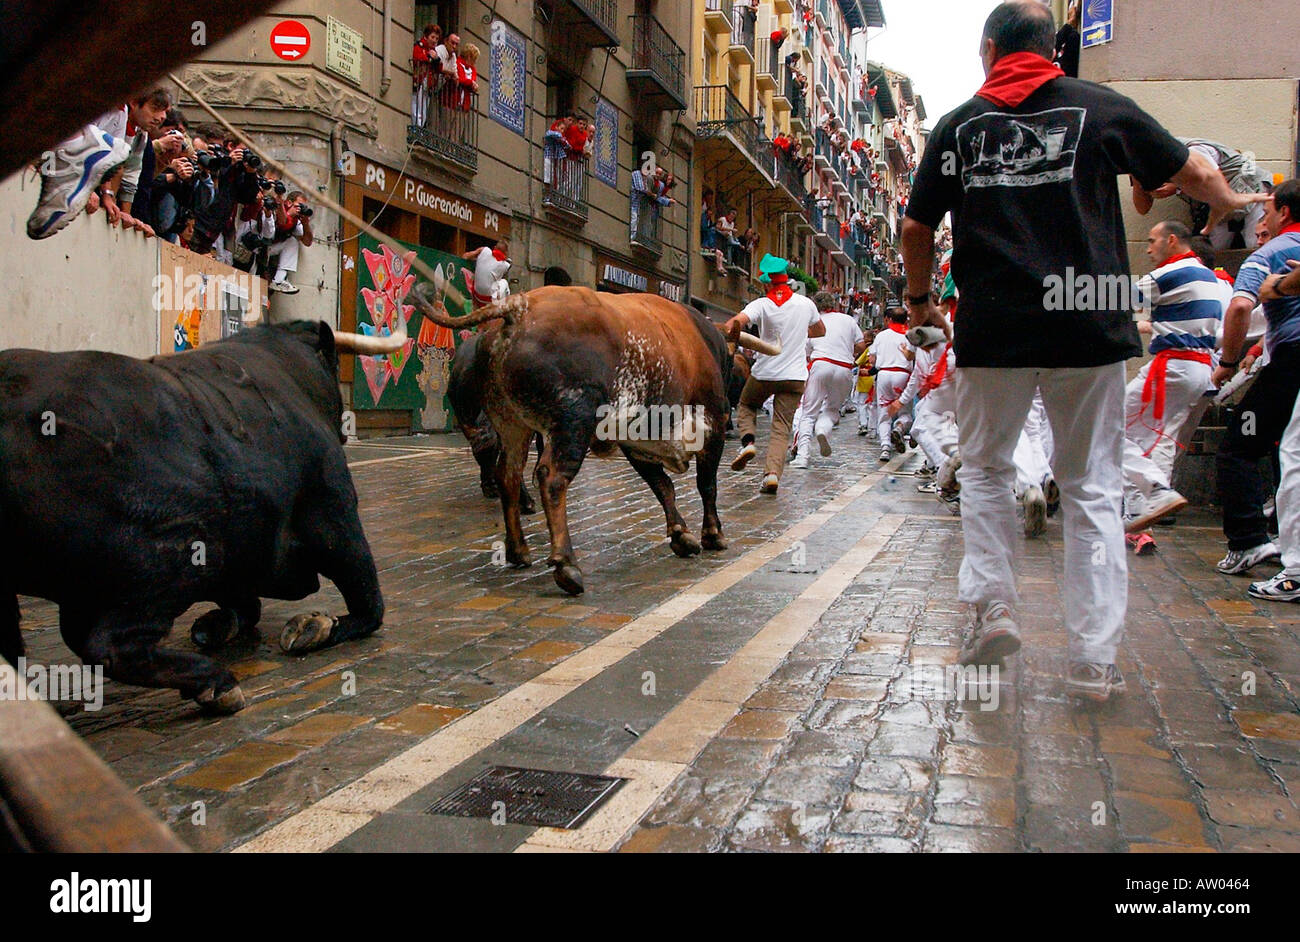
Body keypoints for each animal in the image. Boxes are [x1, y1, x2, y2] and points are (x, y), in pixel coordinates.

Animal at [0, 319, 407, 714]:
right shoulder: (335, 514)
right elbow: (369, 601)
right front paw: (314, 625)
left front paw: (216, 626)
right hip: (176, 556)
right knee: (106, 646)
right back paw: (219, 684)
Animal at [411, 283, 775, 596]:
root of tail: (519, 306)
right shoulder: (711, 424)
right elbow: (706, 485)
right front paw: (712, 534)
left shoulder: (636, 440)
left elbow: (663, 487)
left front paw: (681, 535)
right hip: (572, 423)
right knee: (551, 479)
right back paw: (566, 566)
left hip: (512, 424)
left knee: (509, 477)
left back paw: (518, 550)